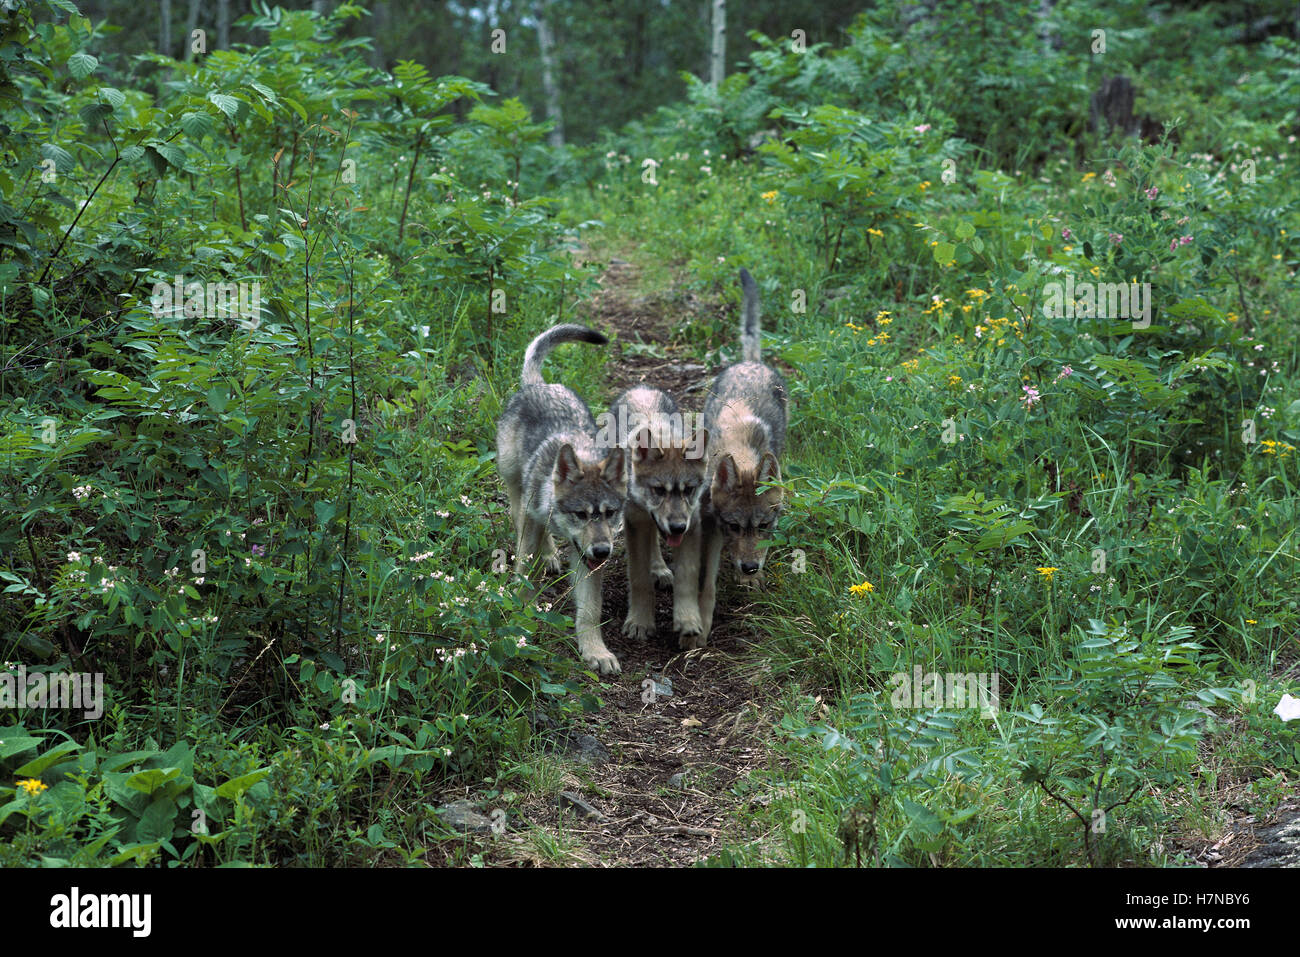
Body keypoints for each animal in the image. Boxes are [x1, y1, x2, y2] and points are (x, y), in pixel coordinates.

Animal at [496, 324, 628, 674]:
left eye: (610, 513)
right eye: (581, 514)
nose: (603, 550)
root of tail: (539, 385)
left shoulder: (587, 559)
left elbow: (590, 610)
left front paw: (595, 651)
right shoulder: (534, 518)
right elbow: (524, 571)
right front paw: (519, 614)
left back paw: (551, 554)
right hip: (516, 486)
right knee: (519, 518)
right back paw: (548, 554)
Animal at [597, 386, 708, 641]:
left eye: (688, 490)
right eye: (659, 490)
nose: (677, 527)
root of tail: (641, 388)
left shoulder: (692, 526)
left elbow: (687, 576)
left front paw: (688, 620)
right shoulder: (635, 523)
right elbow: (639, 579)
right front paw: (640, 622)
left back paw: (660, 569)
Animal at [673, 268, 788, 648]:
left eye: (764, 526)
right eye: (735, 526)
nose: (749, 568)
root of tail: (751, 363)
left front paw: (750, 581)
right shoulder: (710, 529)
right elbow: (705, 584)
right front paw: (698, 630)